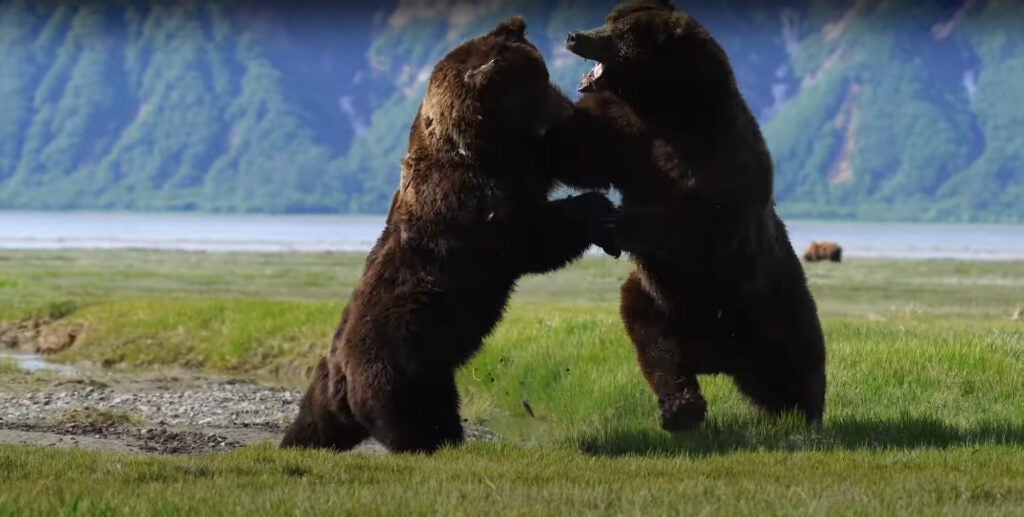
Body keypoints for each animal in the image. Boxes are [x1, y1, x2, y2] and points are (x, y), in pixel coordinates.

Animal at [280, 17, 619, 453]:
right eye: (538, 81)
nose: (564, 107)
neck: (480, 141)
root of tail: (343, 372)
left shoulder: (525, 158)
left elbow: (571, 161)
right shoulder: (471, 204)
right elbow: (530, 238)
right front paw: (599, 211)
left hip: (346, 380)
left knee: (315, 419)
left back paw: (296, 440)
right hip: (402, 365)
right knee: (418, 417)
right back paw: (442, 444)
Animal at [544, 0, 827, 431]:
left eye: (616, 31)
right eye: (607, 19)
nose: (574, 36)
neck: (667, 109)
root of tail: (720, 358)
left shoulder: (722, 158)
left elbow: (700, 219)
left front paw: (618, 222)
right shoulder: (625, 133)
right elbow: (579, 153)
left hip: (776, 306)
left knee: (798, 363)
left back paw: (805, 414)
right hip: (660, 303)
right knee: (658, 346)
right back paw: (681, 408)